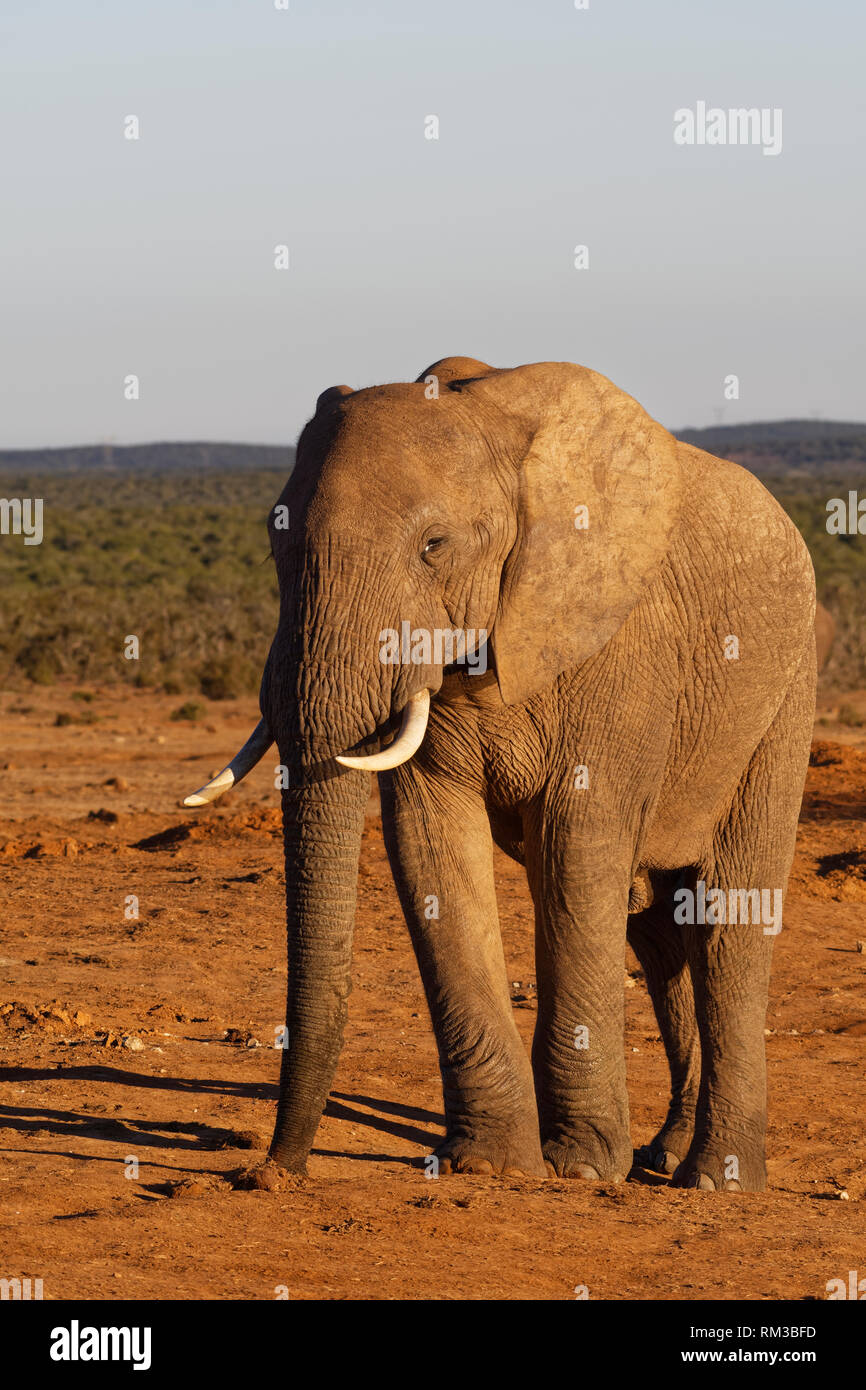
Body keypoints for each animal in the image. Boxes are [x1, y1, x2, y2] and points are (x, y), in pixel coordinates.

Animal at [184, 357, 816, 1192]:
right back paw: (663, 1157)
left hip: (783, 695)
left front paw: (579, 1169)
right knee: (658, 933)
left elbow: (578, 852)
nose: (268, 1172)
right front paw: (491, 1164)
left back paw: (718, 1179)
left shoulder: (619, 648)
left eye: (434, 546)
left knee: (728, 924)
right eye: (272, 542)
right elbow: (428, 842)